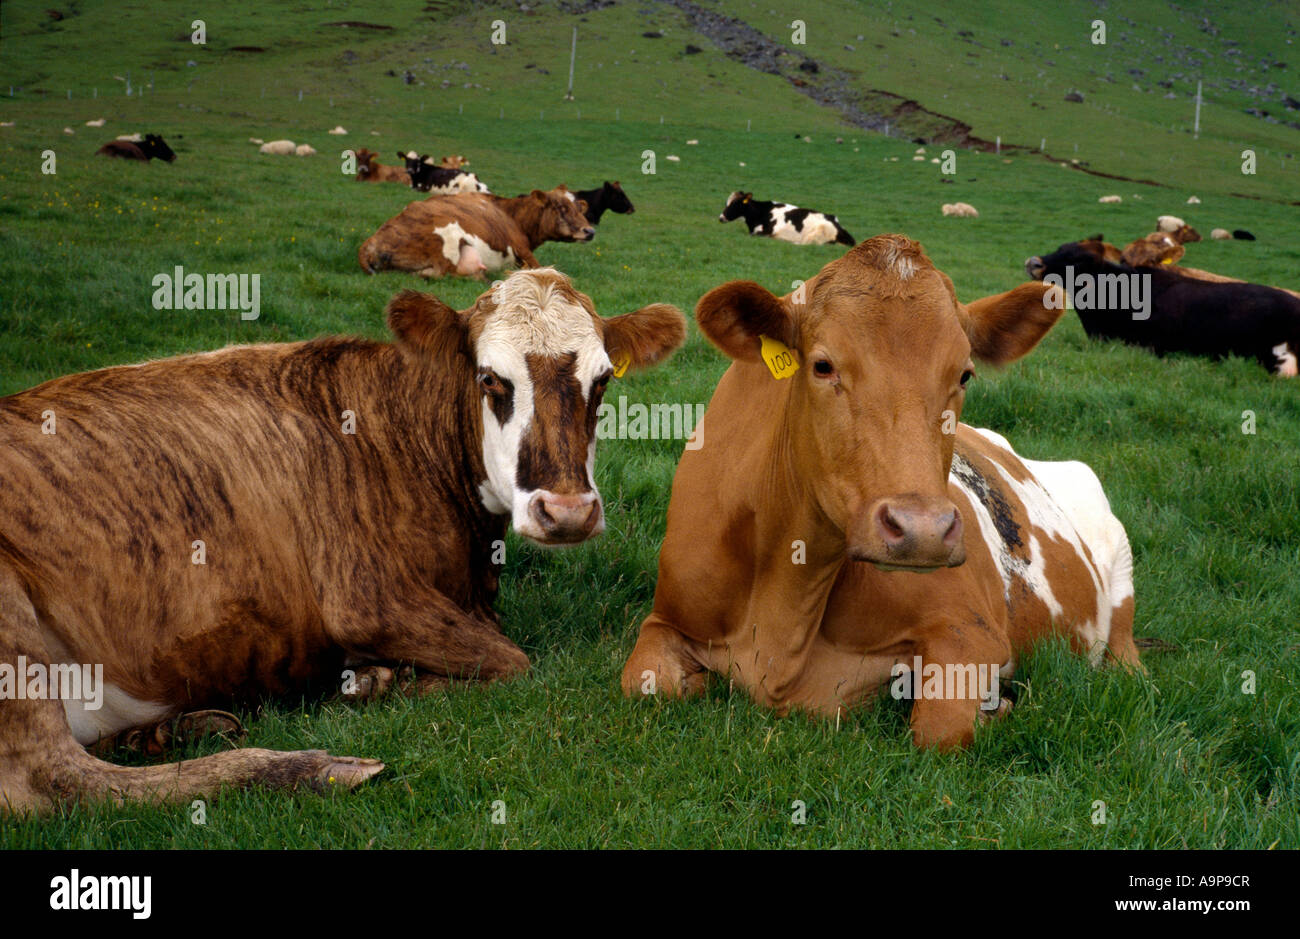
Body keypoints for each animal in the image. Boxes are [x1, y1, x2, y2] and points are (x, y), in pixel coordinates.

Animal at [0, 268, 686, 814]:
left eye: (602, 380)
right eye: (492, 379)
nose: (567, 513)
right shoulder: (366, 600)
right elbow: (514, 661)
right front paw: (373, 684)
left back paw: (173, 731)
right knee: (55, 778)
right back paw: (315, 768)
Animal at [359, 188, 595, 279]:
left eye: (580, 208)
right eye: (561, 207)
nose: (590, 230)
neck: (511, 215)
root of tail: (371, 242)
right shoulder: (523, 249)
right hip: (447, 244)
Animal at [621, 234, 1139, 748]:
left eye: (964, 374)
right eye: (822, 366)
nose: (923, 531)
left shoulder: (970, 630)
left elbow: (940, 728)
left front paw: (995, 708)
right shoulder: (666, 617)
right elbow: (646, 684)